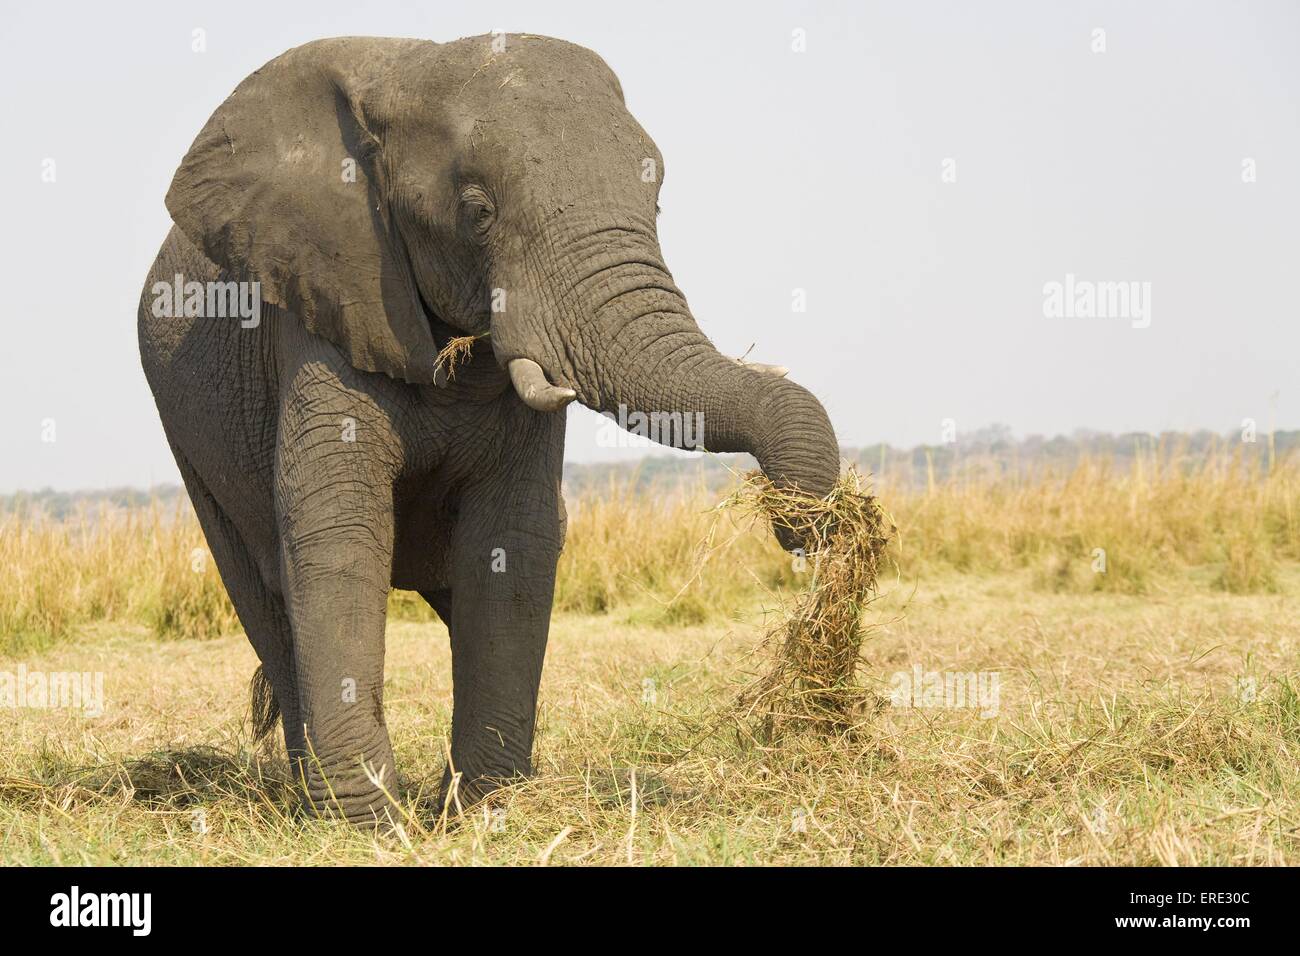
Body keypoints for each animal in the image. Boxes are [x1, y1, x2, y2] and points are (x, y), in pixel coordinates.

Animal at [138, 33, 840, 826]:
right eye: (477, 210)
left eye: (656, 200)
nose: (804, 529)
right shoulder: (326, 299)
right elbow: (336, 524)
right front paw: (372, 823)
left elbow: (512, 536)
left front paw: (485, 808)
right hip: (189, 440)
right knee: (265, 597)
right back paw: (307, 797)